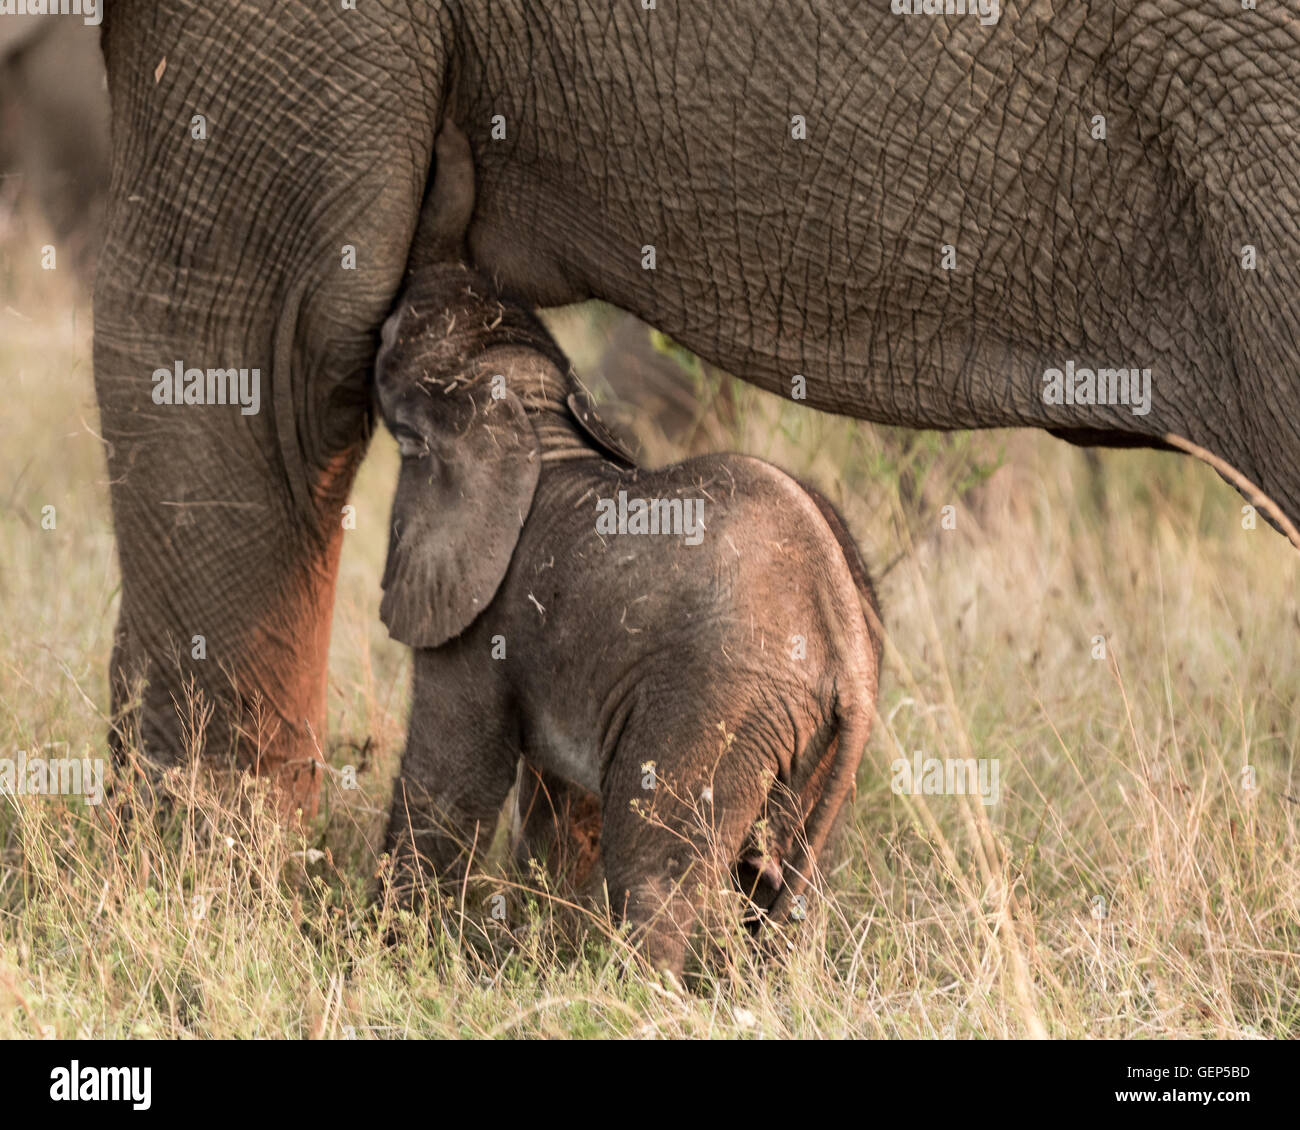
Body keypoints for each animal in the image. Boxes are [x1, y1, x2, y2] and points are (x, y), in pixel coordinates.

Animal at [374, 137, 882, 973]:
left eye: (393, 340)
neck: (533, 417)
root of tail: (852, 668)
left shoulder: (483, 621)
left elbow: (452, 783)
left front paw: (384, 949)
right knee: (775, 886)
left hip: (716, 709)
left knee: (653, 870)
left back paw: (628, 986)